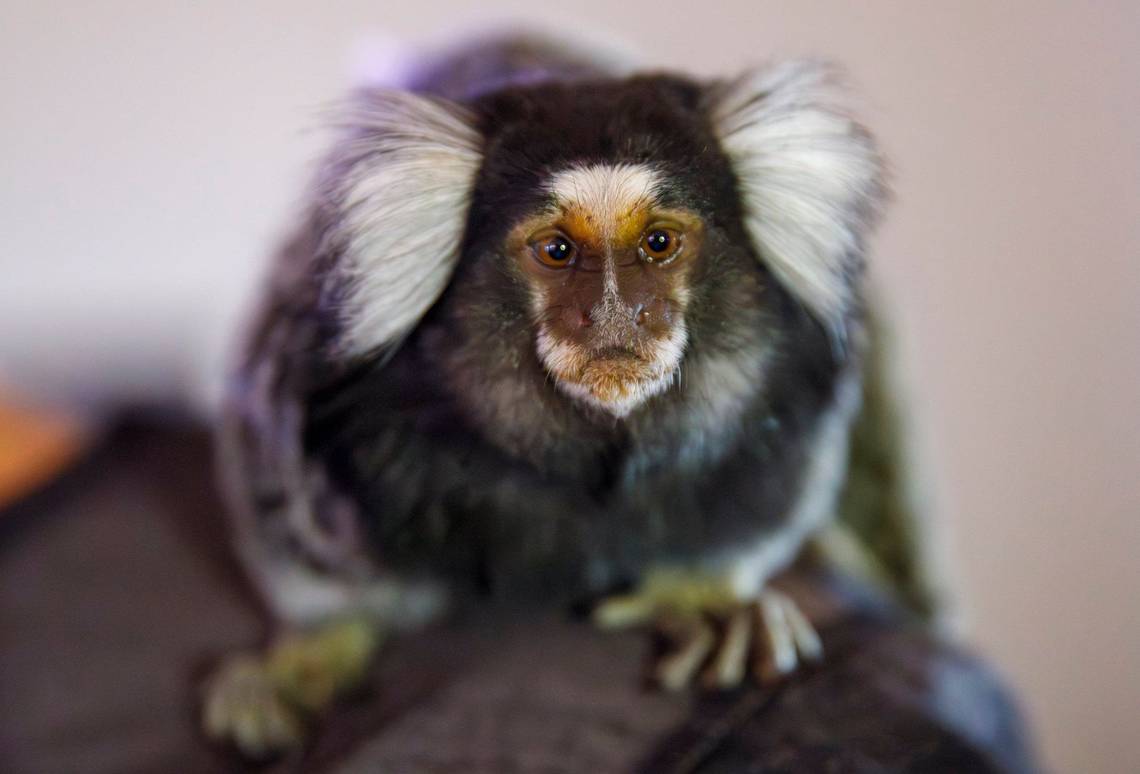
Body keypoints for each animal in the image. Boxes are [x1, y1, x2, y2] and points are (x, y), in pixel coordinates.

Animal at [201, 33, 905, 758]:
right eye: (557, 250)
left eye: (658, 243)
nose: (615, 315)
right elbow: (304, 537)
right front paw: (304, 659)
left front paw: (704, 598)